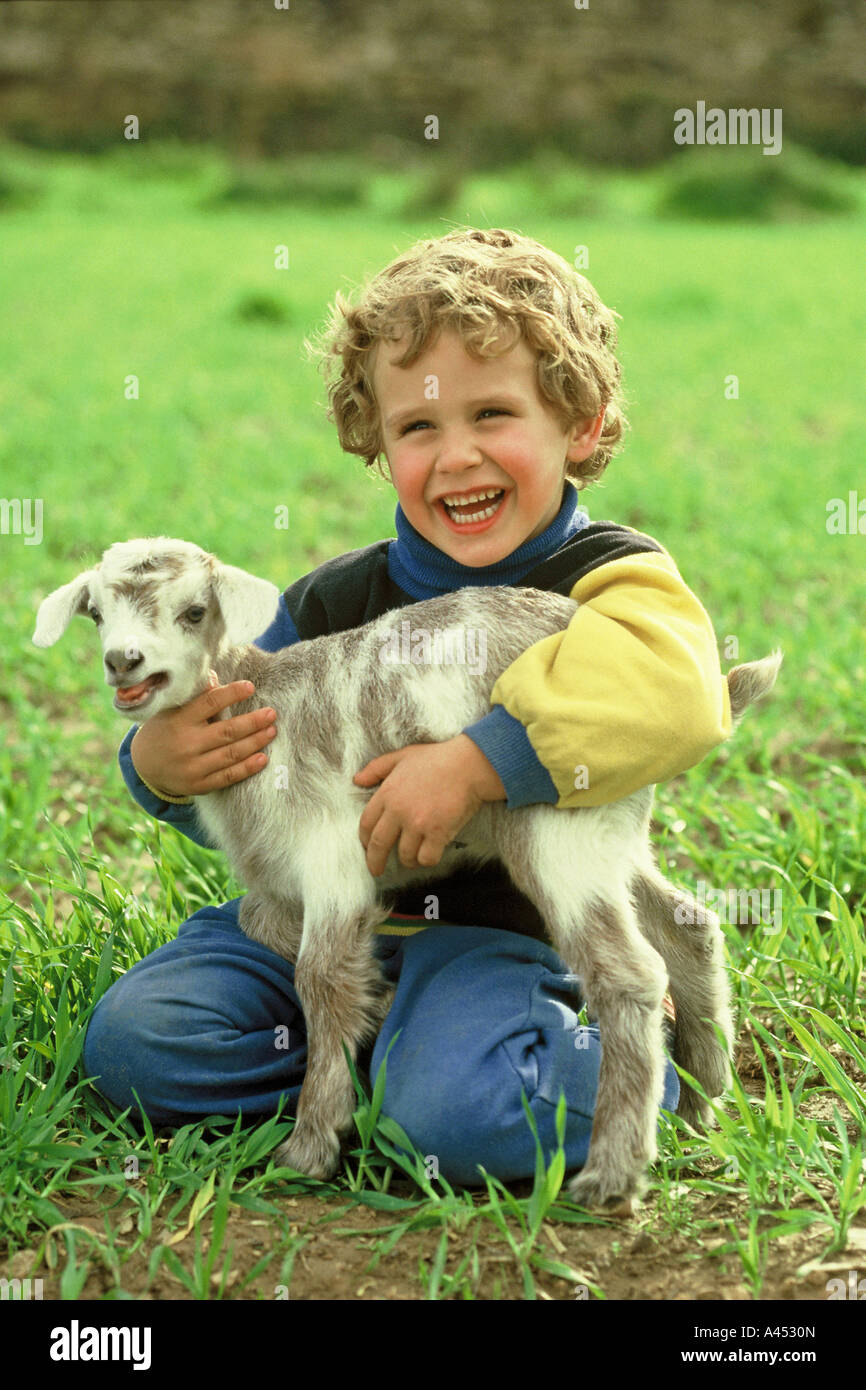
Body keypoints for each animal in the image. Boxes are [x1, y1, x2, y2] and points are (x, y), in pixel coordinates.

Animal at [33, 537, 781, 1209]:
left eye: (193, 611)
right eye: (96, 613)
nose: (124, 662)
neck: (261, 703)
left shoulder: (331, 852)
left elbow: (321, 979)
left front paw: (309, 1147)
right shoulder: (281, 874)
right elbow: (262, 922)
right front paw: (380, 994)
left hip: (558, 824)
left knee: (627, 973)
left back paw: (614, 1173)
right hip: (614, 829)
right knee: (688, 923)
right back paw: (703, 1096)